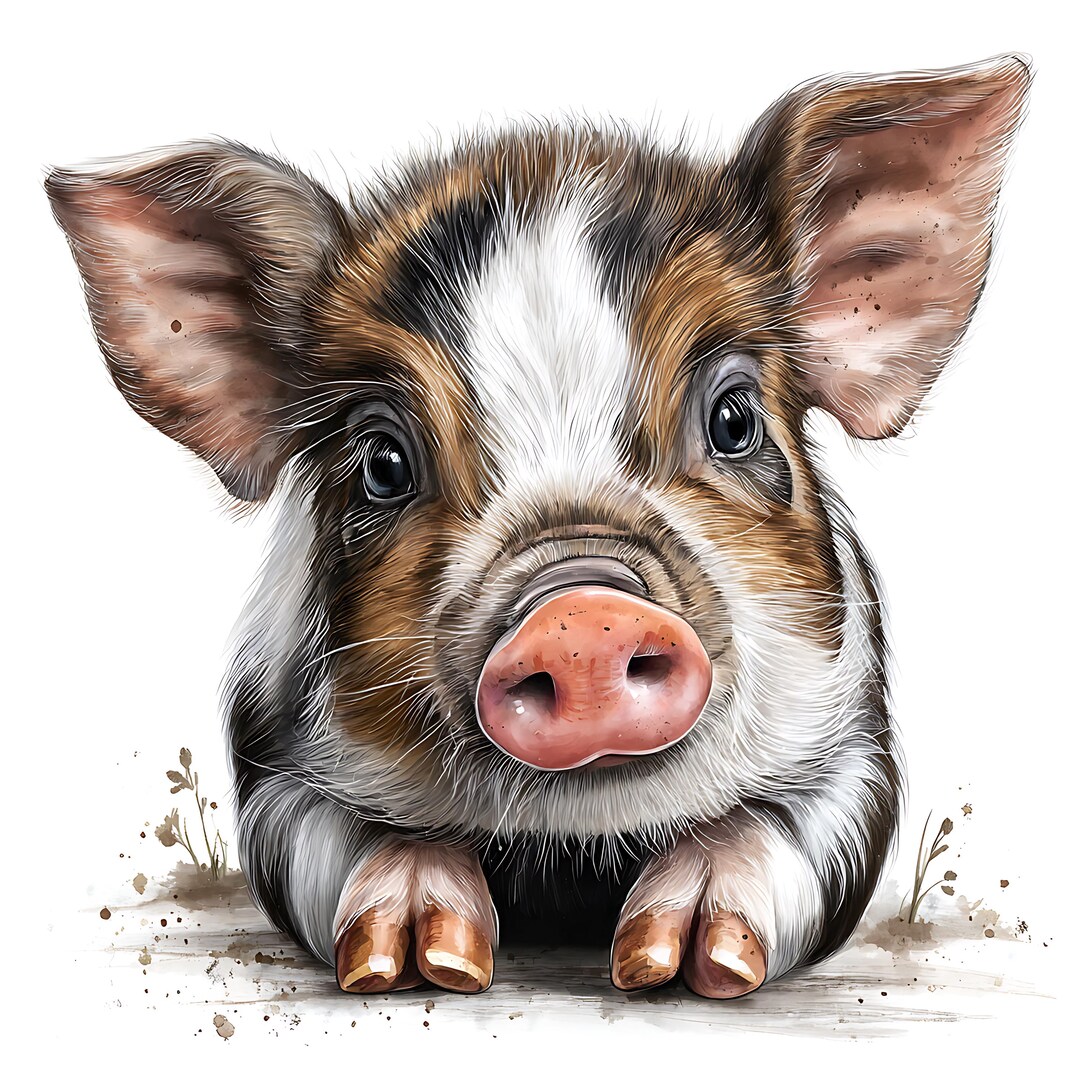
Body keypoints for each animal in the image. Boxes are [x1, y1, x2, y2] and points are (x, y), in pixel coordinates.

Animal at [47, 56, 1029, 999]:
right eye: (383, 462)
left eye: (735, 417)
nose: (580, 616)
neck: (574, 864)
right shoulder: (272, 759)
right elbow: (326, 842)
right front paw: (412, 962)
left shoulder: (855, 743)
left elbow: (796, 831)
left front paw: (688, 962)